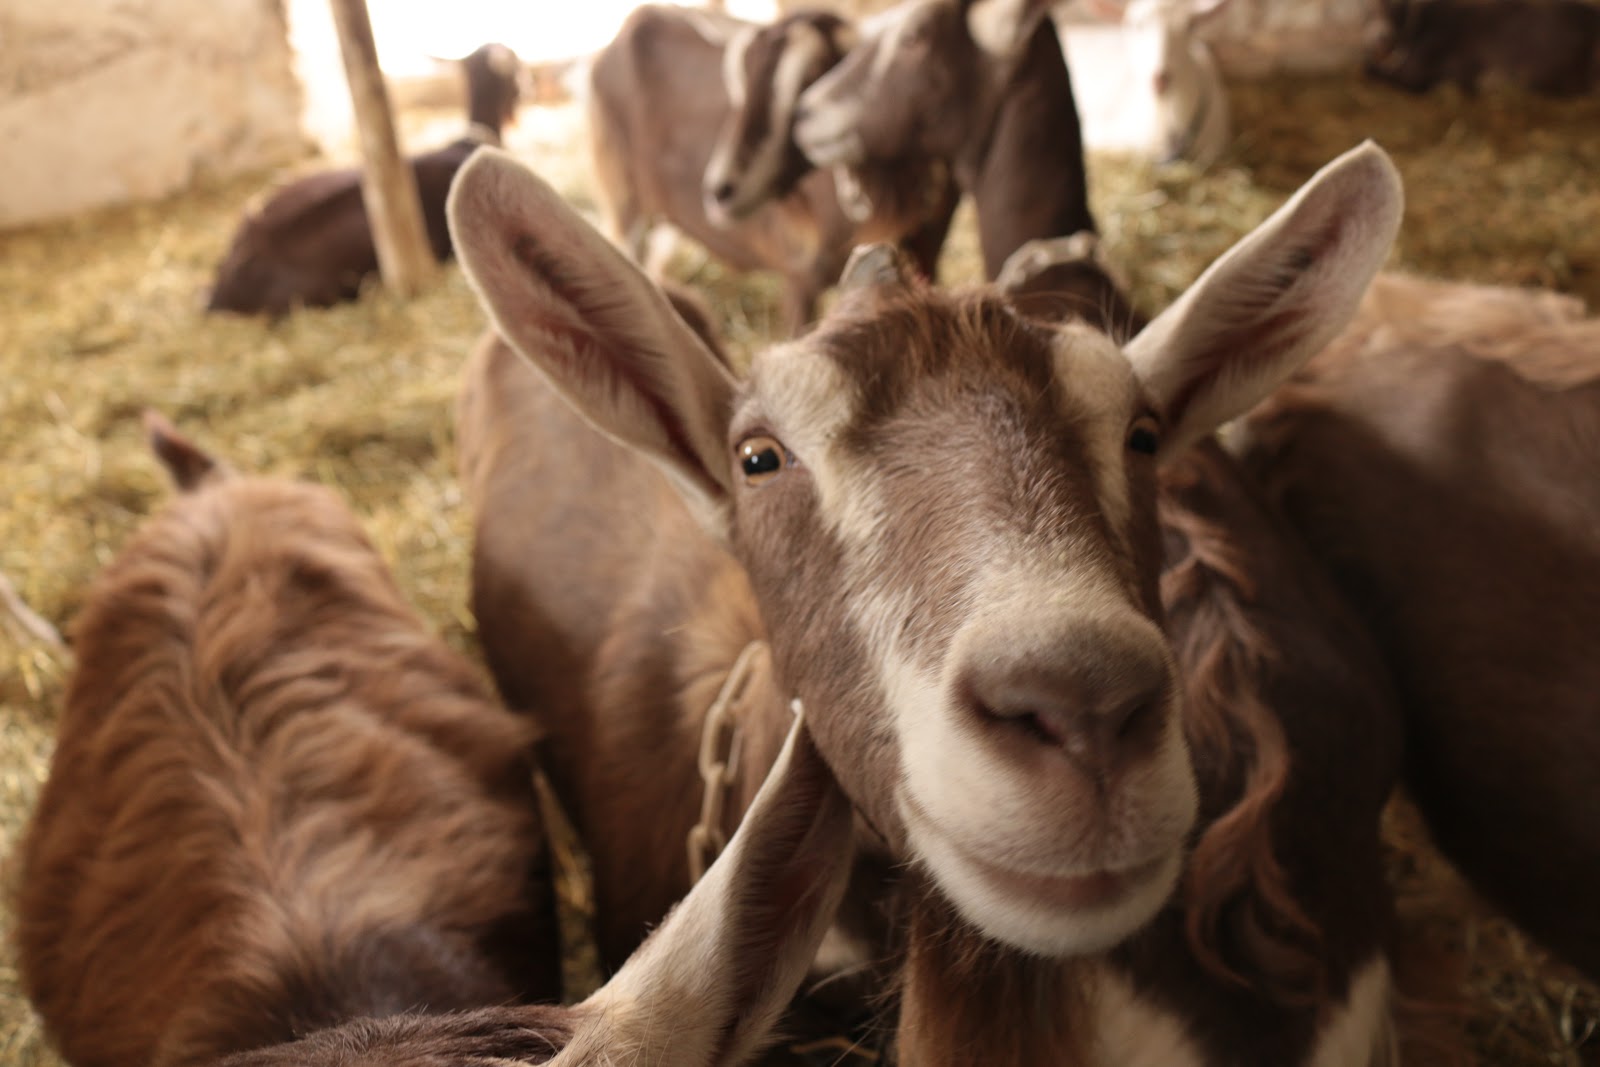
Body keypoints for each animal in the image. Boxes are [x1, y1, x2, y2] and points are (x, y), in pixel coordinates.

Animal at [587, 4, 959, 333]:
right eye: (746, 80)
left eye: (813, 76)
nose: (721, 190)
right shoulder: (798, 275)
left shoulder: (928, 253)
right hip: (623, 197)